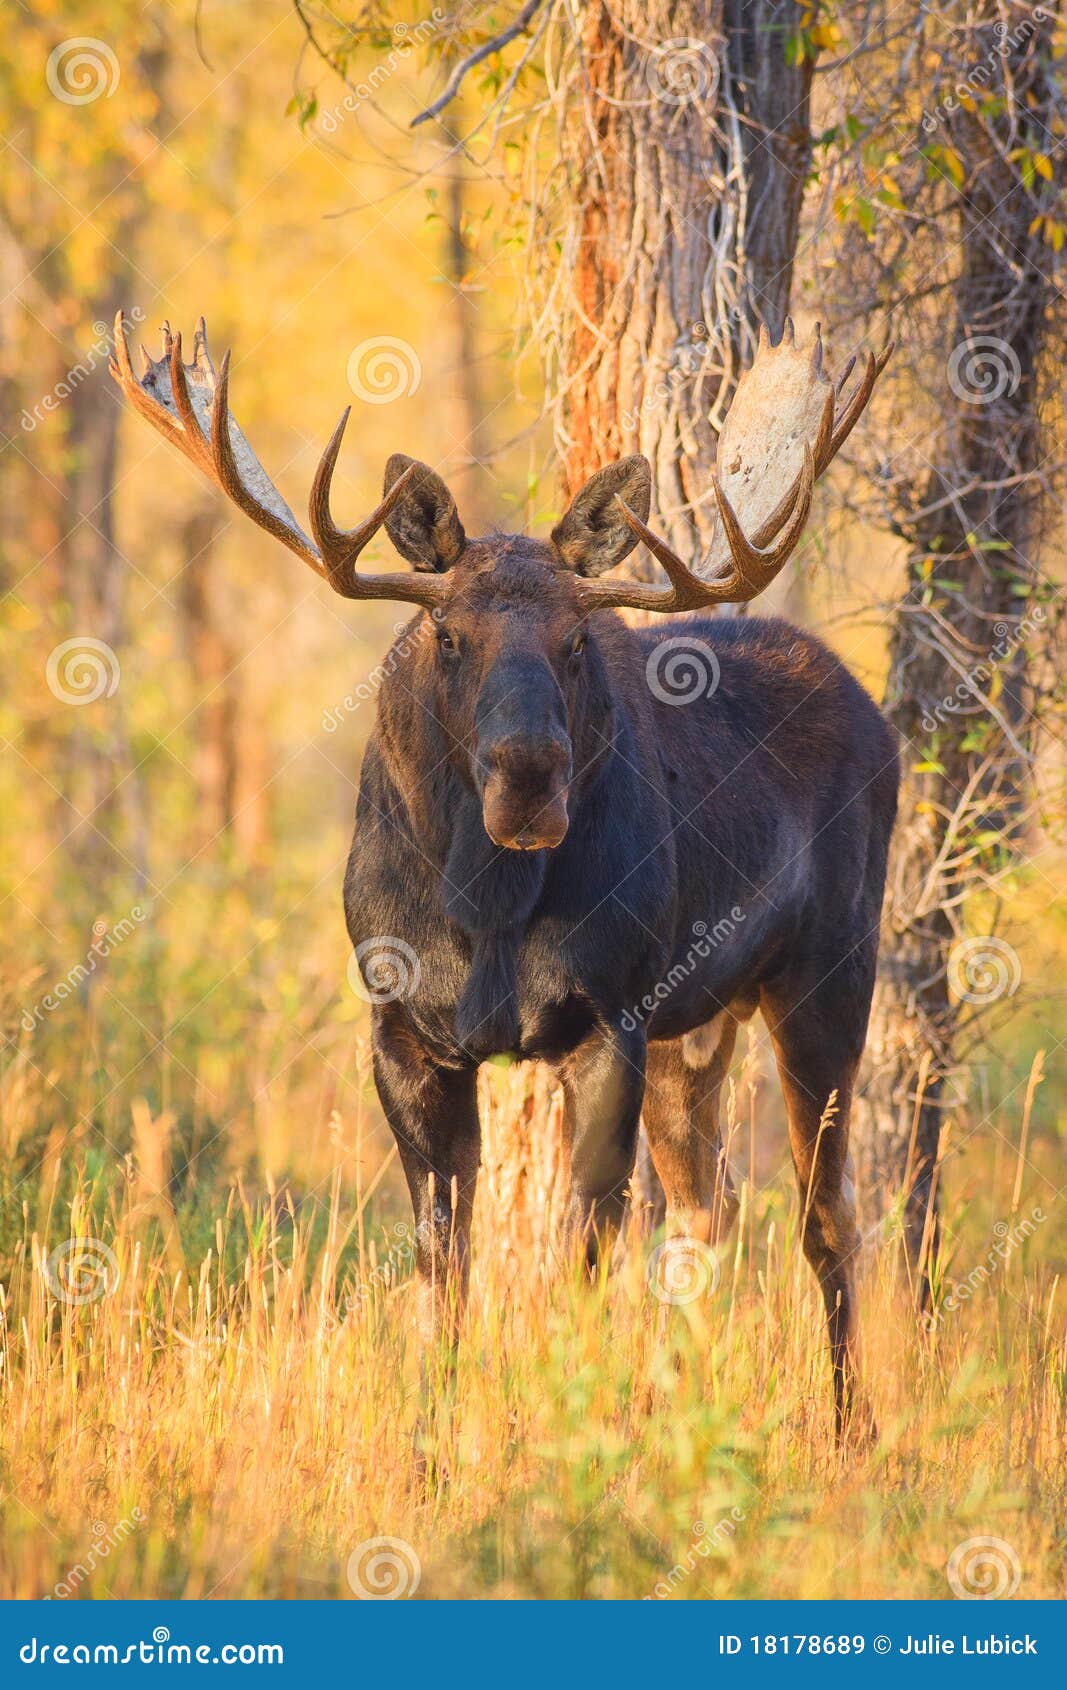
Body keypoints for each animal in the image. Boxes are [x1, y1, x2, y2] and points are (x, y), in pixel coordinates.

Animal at [110, 314, 892, 1439]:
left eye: (575, 638)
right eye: (448, 635)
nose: (529, 782)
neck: (483, 911)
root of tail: (870, 709)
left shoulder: (607, 1019)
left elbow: (583, 1258)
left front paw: (564, 1428)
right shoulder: (403, 1032)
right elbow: (444, 1265)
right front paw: (432, 1438)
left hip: (825, 976)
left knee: (826, 1215)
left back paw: (848, 1433)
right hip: (698, 1023)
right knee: (710, 1206)